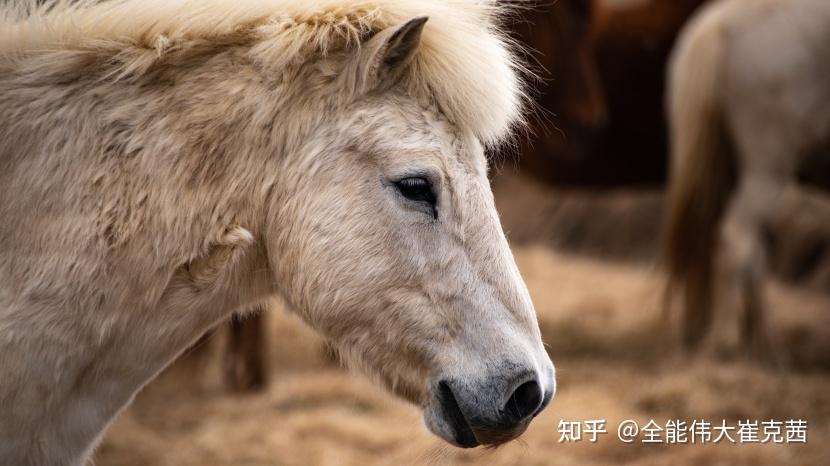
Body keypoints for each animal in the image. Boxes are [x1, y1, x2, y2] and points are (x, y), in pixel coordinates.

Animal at [662, 0, 830, 357]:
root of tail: (719, 25)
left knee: (749, 249)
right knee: (737, 237)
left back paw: (763, 342)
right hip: (768, 166)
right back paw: (729, 340)